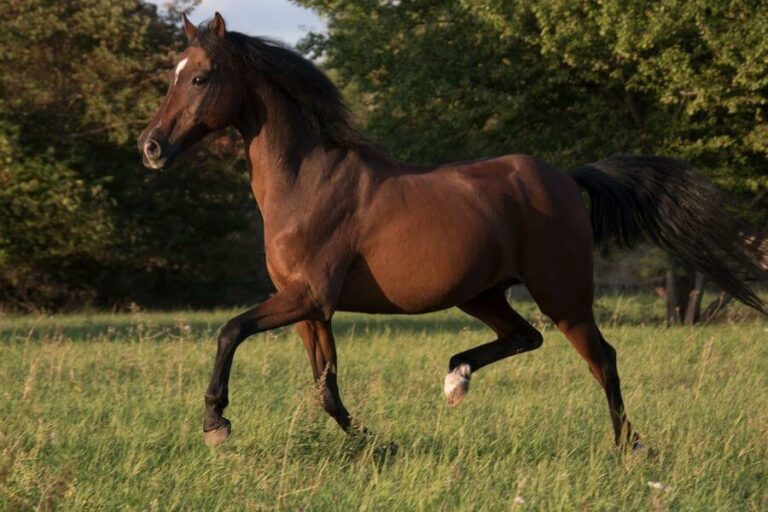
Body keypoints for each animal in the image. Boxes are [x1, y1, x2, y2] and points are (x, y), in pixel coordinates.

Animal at [137, 13, 766, 449]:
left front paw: (215, 421)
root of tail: (565, 176)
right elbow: (326, 387)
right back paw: (455, 378)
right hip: (482, 293)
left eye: (200, 77)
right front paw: (376, 446)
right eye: (173, 76)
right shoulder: (310, 309)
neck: (308, 180)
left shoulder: (308, 296)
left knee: (602, 358)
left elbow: (231, 331)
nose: (151, 147)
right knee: (525, 337)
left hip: (563, 295)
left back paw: (630, 447)